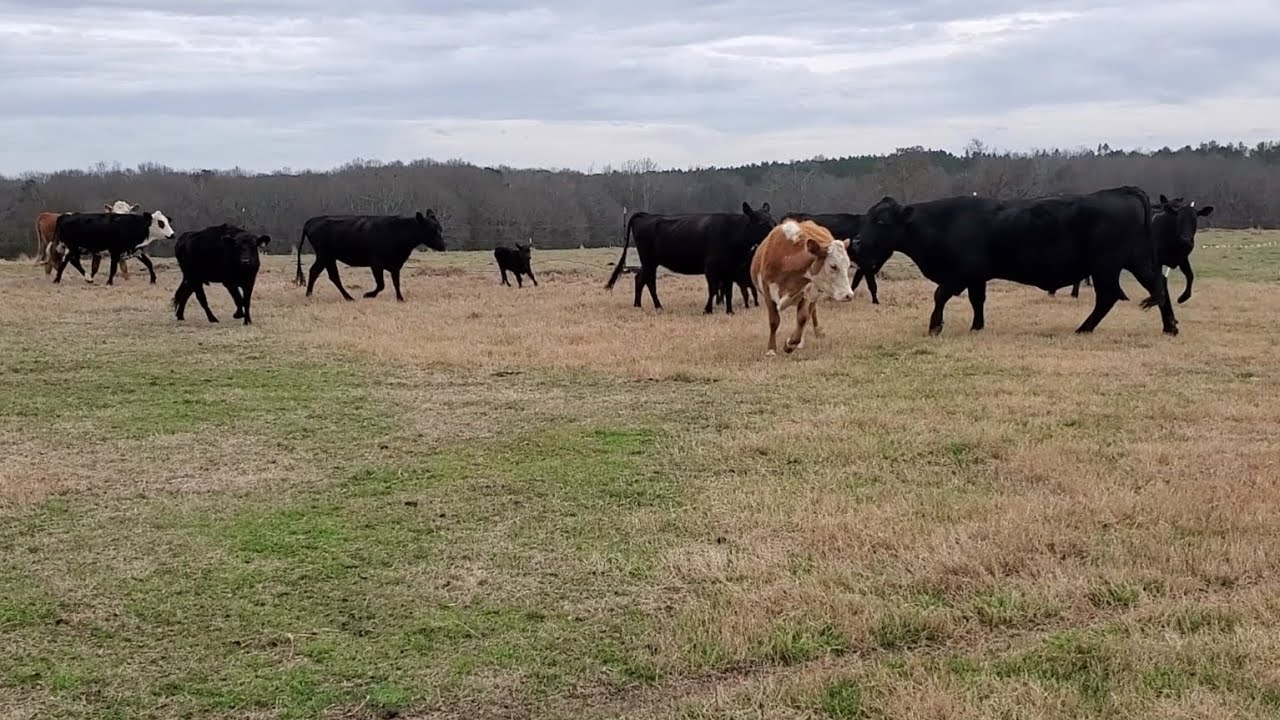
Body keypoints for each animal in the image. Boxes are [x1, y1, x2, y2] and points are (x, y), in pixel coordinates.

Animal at [294, 211, 446, 301]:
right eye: (432, 230)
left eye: (440, 229)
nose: (443, 246)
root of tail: (312, 221)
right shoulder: (376, 264)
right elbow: (381, 285)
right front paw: (368, 295)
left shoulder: (396, 264)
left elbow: (396, 282)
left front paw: (400, 298)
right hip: (324, 255)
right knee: (323, 273)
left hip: (327, 257)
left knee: (323, 273)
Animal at [603, 202, 775, 315]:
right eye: (761, 221)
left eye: (773, 220)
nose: (775, 233)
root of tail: (646, 215)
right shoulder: (711, 266)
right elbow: (713, 288)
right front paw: (708, 310)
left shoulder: (729, 268)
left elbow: (728, 290)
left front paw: (730, 311)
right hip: (649, 260)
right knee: (649, 281)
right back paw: (658, 306)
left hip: (650, 262)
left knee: (640, 278)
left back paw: (638, 305)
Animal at [749, 218, 857, 356]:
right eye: (833, 266)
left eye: (847, 266)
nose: (849, 295)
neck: (786, 259)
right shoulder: (768, 293)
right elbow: (774, 321)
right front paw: (771, 349)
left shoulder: (806, 292)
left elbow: (802, 318)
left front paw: (790, 344)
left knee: (812, 311)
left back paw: (810, 336)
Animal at [849, 186, 1179, 336]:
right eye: (866, 217)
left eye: (880, 220)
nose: (856, 243)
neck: (942, 223)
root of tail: (1120, 191)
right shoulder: (976, 277)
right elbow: (977, 300)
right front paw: (977, 327)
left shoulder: (960, 273)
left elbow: (940, 295)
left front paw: (935, 326)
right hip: (1137, 262)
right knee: (1159, 287)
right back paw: (1170, 327)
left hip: (1106, 267)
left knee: (1109, 297)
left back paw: (1084, 328)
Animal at [1050, 194, 1213, 303]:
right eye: (1179, 219)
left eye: (1195, 220)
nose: (1186, 240)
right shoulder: (1156, 260)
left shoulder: (1182, 258)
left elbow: (1190, 275)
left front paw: (1183, 297)